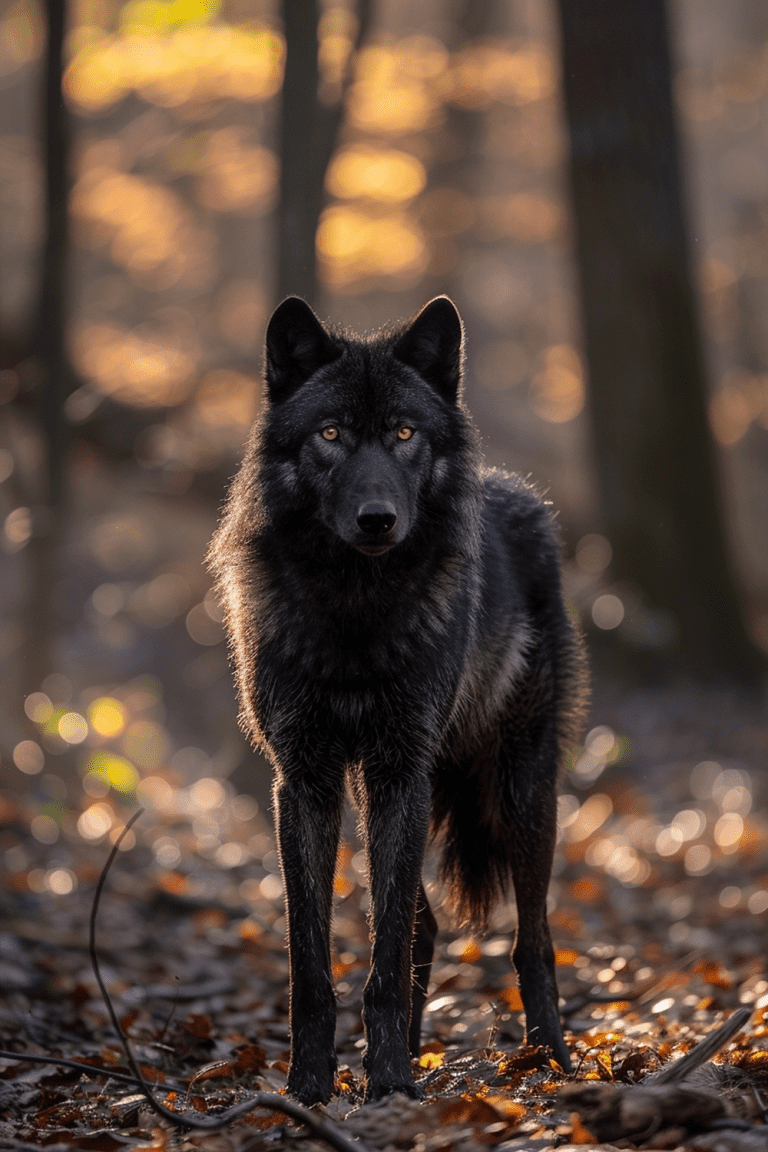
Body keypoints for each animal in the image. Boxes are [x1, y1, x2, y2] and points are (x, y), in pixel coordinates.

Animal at [208, 295, 588, 1105]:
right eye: (331, 435)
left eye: (405, 434)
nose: (378, 518)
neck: (356, 612)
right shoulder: (308, 782)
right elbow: (313, 961)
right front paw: (312, 1086)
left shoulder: (398, 774)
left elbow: (381, 958)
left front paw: (384, 1084)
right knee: (426, 929)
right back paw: (417, 1057)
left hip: (519, 792)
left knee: (533, 941)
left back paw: (550, 1064)